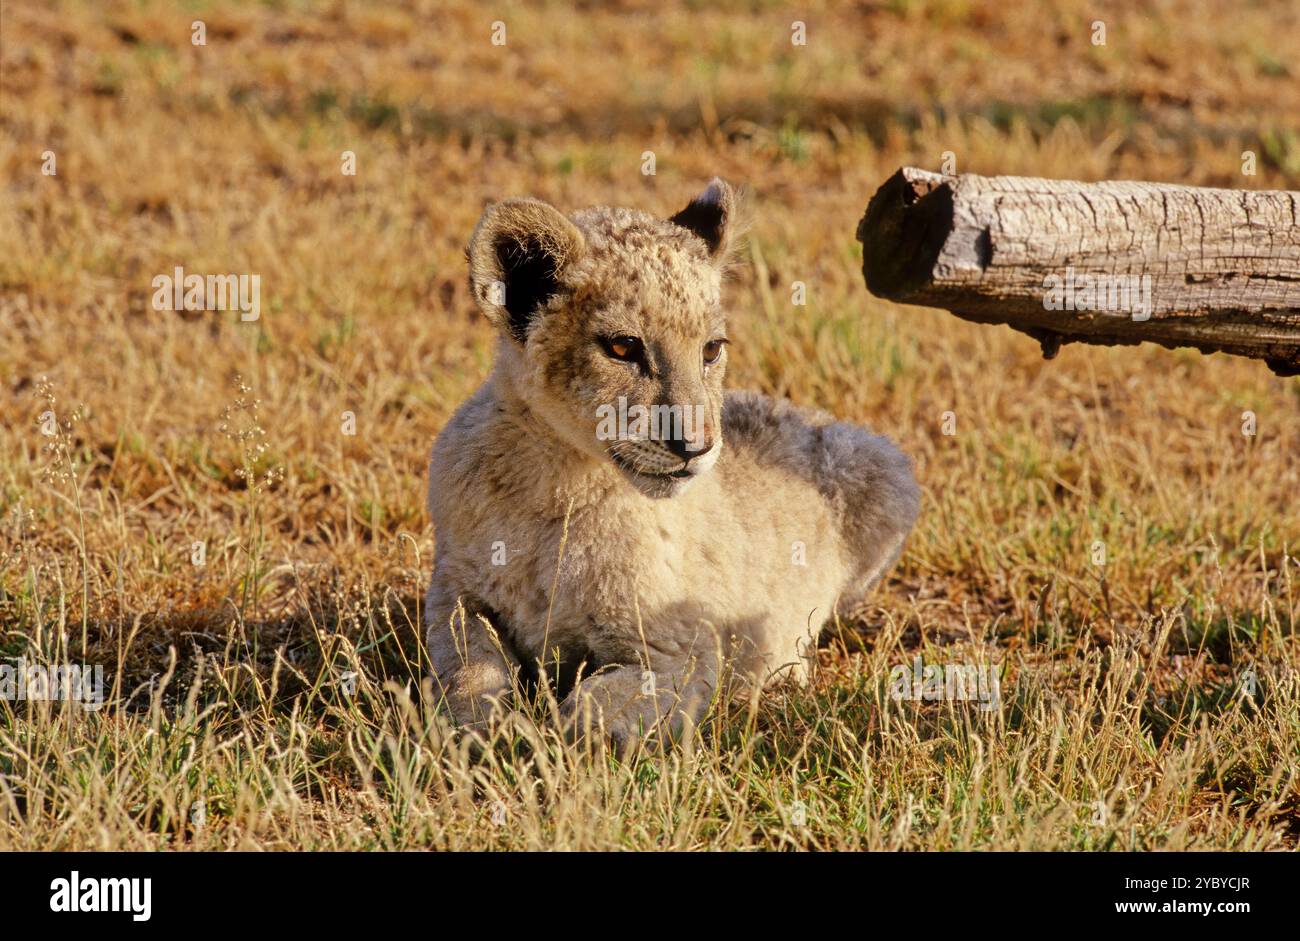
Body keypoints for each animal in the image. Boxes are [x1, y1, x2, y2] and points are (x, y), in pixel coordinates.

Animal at [424, 179, 920, 749]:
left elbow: (589, 711)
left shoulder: (685, 651)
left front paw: (538, 741)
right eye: (622, 347)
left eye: (711, 349)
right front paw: (478, 732)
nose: (697, 447)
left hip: (887, 470)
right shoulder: (452, 591)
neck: (554, 486)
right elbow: (468, 669)